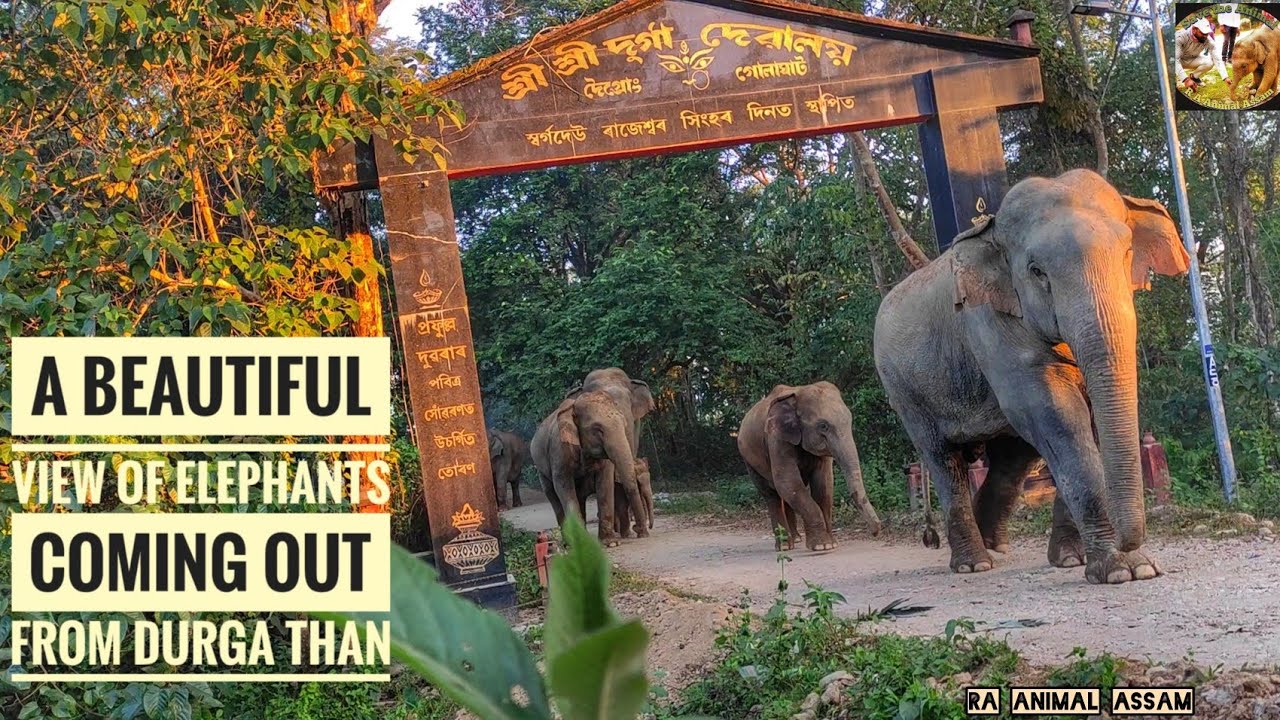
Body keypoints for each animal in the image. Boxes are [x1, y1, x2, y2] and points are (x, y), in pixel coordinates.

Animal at [737, 382, 882, 552]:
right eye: (823, 426)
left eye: (849, 421)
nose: (875, 532)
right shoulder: (776, 439)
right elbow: (787, 482)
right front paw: (822, 546)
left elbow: (824, 486)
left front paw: (831, 544)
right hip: (748, 460)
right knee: (772, 495)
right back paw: (784, 546)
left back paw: (796, 539)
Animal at [872, 169, 1189, 584]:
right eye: (1037, 272)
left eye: (1126, 253)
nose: (1129, 541)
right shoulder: (989, 321)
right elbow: (1057, 414)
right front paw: (1123, 570)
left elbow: (1085, 420)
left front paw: (1075, 560)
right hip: (904, 391)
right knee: (943, 458)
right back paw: (974, 562)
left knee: (1012, 457)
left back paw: (993, 543)